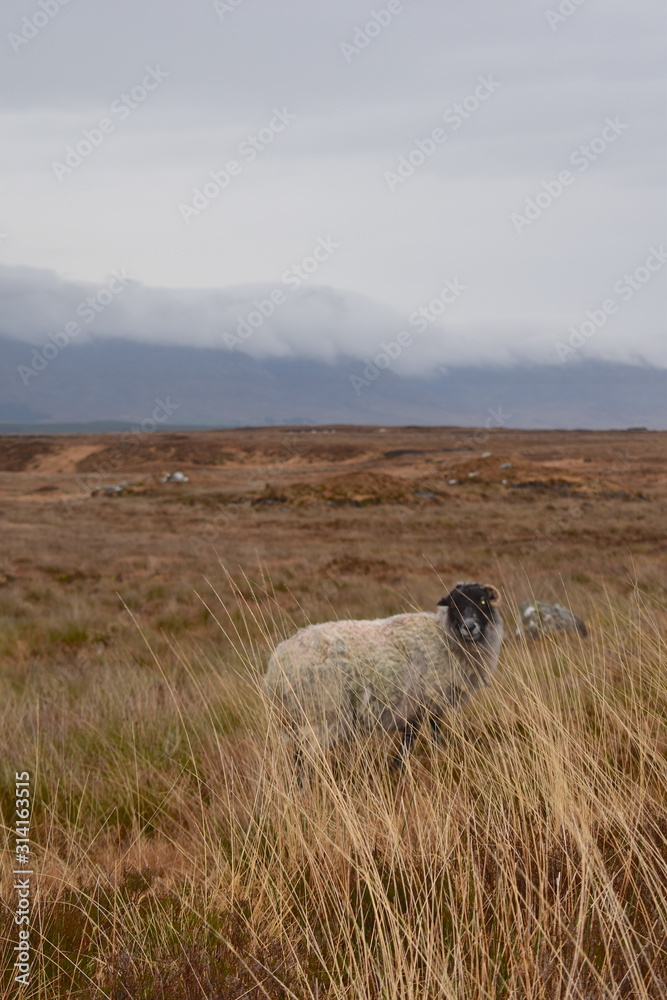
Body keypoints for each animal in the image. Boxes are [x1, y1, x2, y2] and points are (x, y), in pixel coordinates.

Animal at [263, 582, 503, 769]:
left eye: (483, 602)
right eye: (454, 604)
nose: (469, 627)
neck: (445, 637)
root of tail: (276, 664)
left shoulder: (416, 706)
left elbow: (410, 738)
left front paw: (396, 767)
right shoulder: (430, 699)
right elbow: (427, 736)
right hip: (321, 713)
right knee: (304, 759)